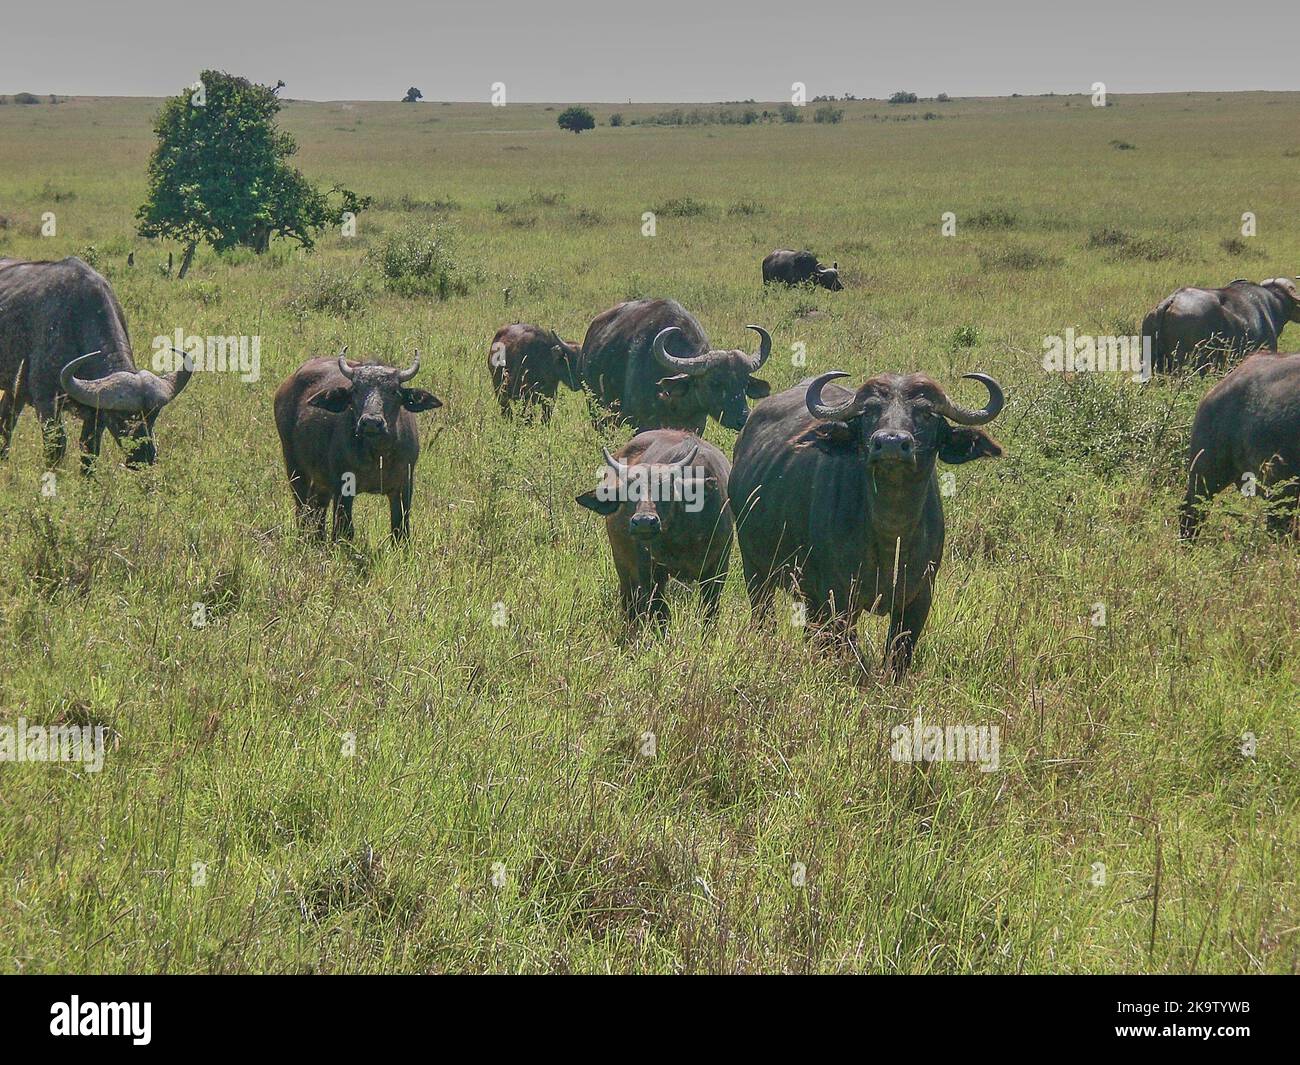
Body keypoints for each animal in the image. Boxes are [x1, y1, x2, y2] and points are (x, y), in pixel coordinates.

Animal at [0, 256, 192, 469]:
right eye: (121, 417)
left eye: (153, 415)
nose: (145, 456)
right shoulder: (46, 401)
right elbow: (56, 448)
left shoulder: (96, 413)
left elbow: (89, 452)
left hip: (15, 389)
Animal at [273, 351, 441, 542]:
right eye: (355, 390)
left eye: (394, 391)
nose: (371, 422)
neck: (378, 455)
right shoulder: (343, 487)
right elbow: (344, 531)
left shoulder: (404, 486)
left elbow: (400, 531)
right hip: (295, 468)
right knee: (303, 510)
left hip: (321, 480)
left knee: (317, 510)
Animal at [576, 430, 733, 622]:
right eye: (628, 493)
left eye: (667, 490)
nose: (644, 522)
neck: (683, 537)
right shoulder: (649, 572)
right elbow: (660, 613)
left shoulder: (717, 570)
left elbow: (709, 613)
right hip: (623, 564)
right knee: (630, 602)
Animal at [577, 299, 771, 433]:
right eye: (714, 383)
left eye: (744, 384)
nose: (743, 419)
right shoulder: (643, 425)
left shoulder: (696, 426)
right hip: (598, 412)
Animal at [729, 369, 1005, 677]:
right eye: (871, 411)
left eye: (925, 412)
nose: (891, 443)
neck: (891, 536)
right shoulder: (837, 599)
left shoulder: (919, 599)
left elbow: (898, 657)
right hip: (756, 571)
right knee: (765, 617)